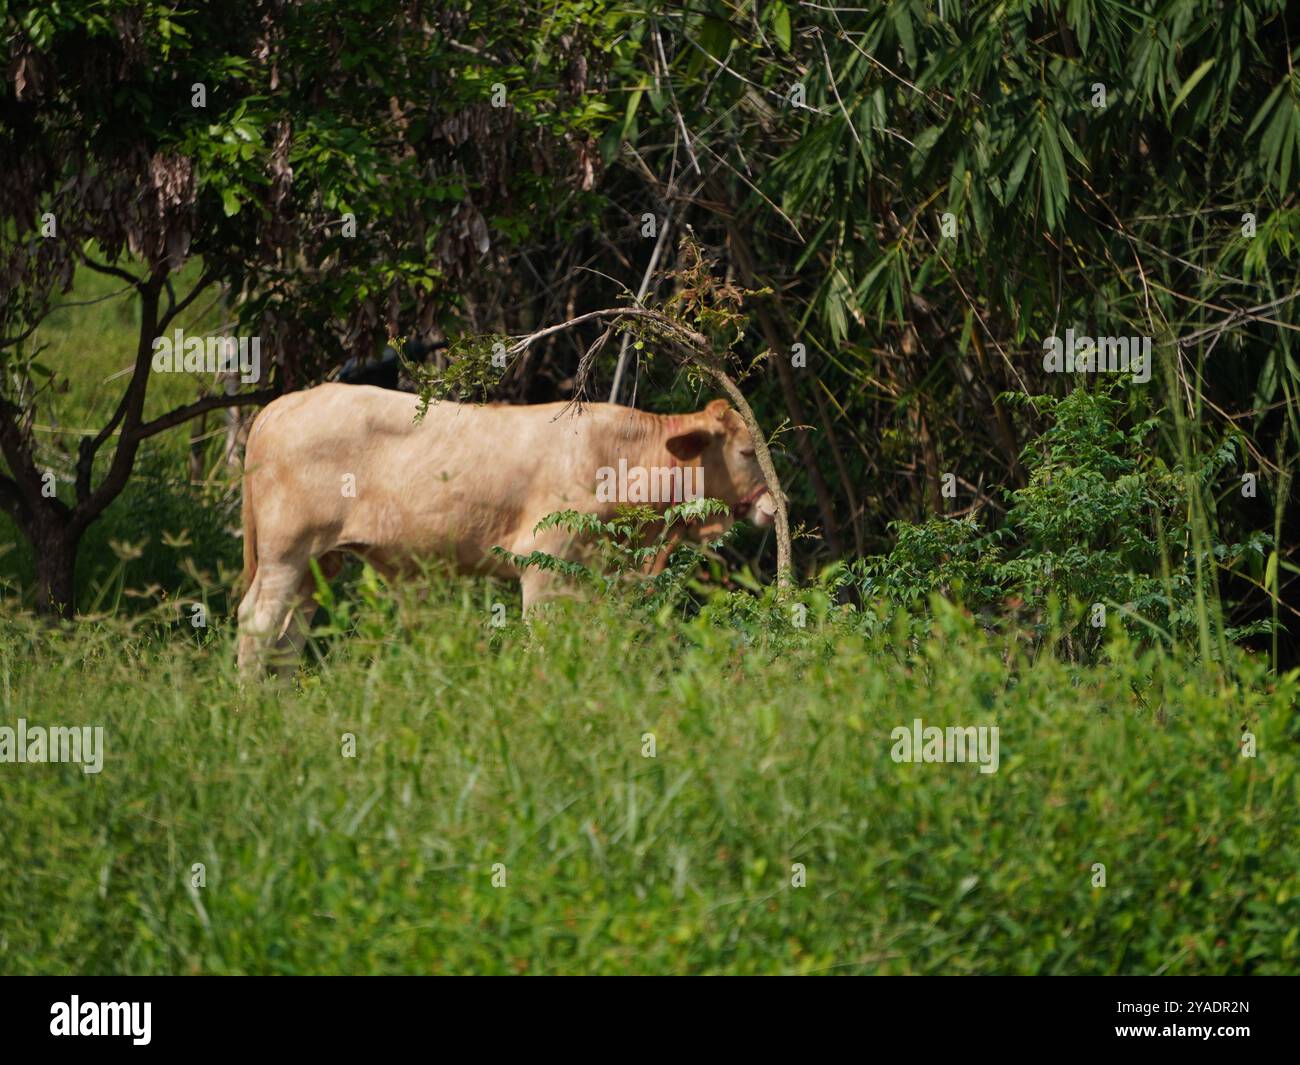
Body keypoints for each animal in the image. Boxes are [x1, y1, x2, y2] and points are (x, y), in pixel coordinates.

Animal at [236, 385, 775, 676]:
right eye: (747, 452)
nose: (773, 506)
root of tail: (282, 404)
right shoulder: (546, 566)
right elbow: (545, 642)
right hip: (286, 550)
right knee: (258, 624)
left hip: (317, 561)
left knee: (289, 636)